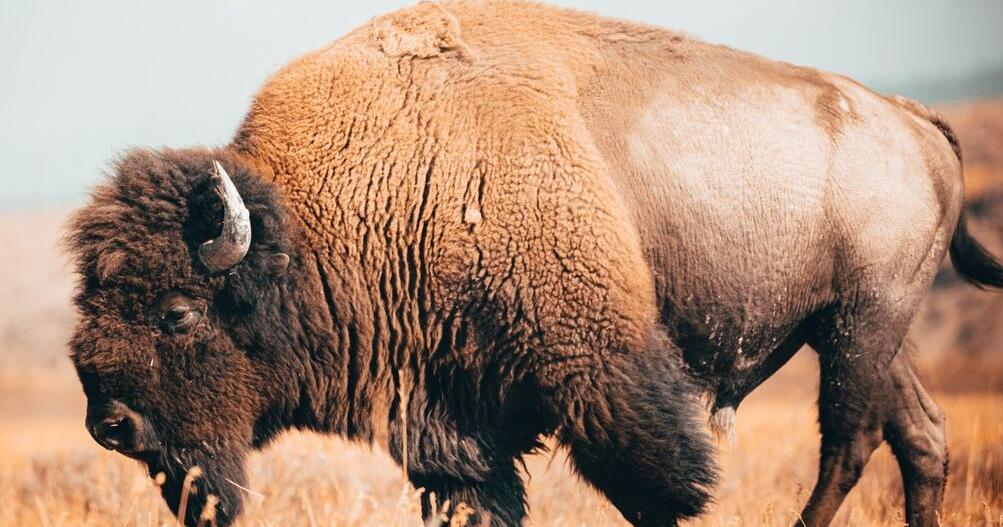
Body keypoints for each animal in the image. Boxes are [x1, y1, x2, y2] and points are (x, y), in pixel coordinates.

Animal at [67, 2, 1002, 526]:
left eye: (177, 312)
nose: (110, 423)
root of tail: (911, 116)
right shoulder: (449, 422)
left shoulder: (602, 374)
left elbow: (658, 490)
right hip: (864, 332)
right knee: (919, 434)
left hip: (858, 324)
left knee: (848, 439)